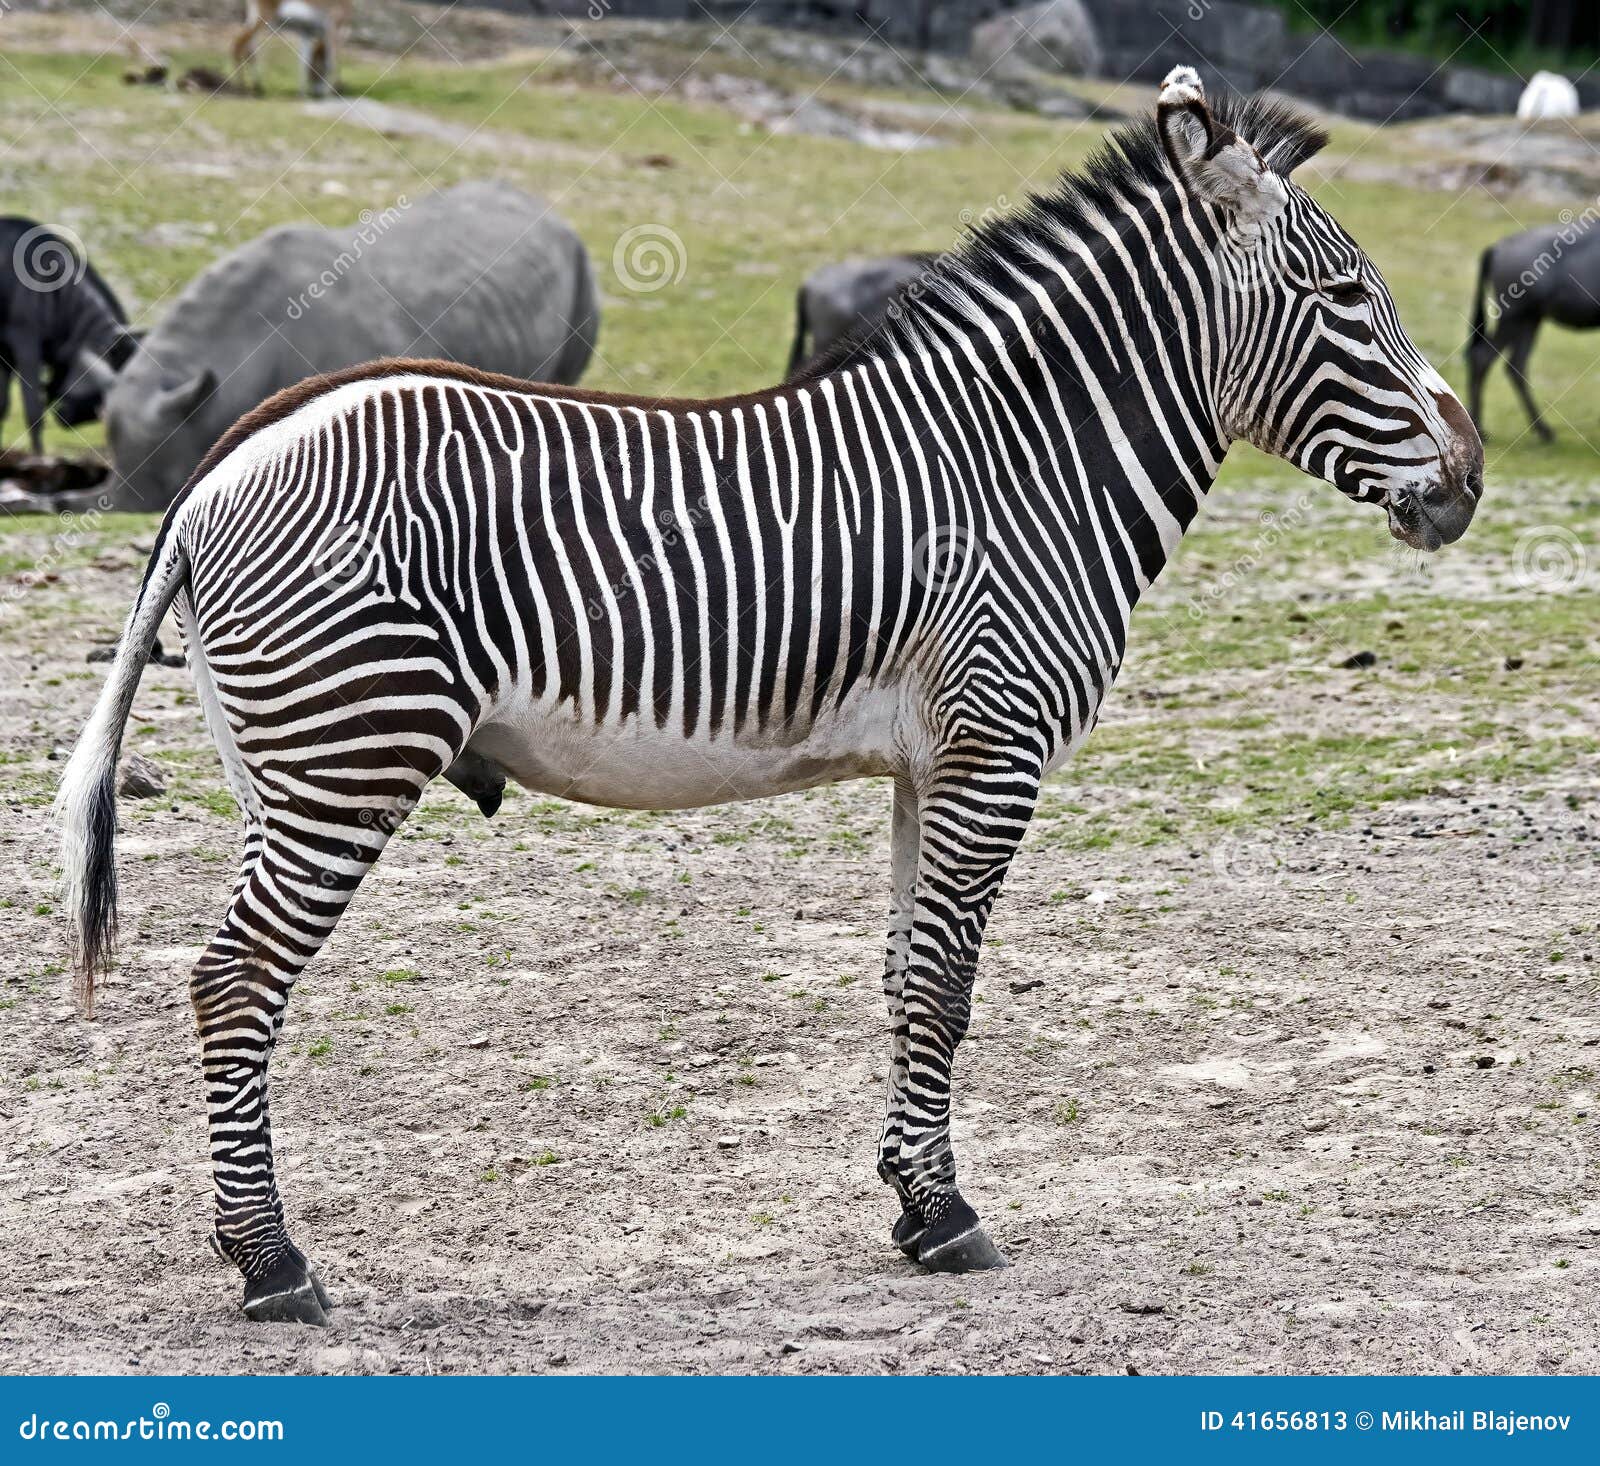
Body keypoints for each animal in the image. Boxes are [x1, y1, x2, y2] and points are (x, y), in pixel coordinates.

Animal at [57, 69, 1482, 1325]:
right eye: (1346, 298)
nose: (1467, 481)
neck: (1025, 466)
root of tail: (228, 458)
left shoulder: (934, 761)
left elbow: (910, 976)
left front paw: (911, 1200)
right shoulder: (996, 747)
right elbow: (950, 984)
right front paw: (951, 1218)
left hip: (280, 763)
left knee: (236, 977)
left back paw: (247, 1243)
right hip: (348, 752)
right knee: (235, 979)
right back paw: (273, 1265)